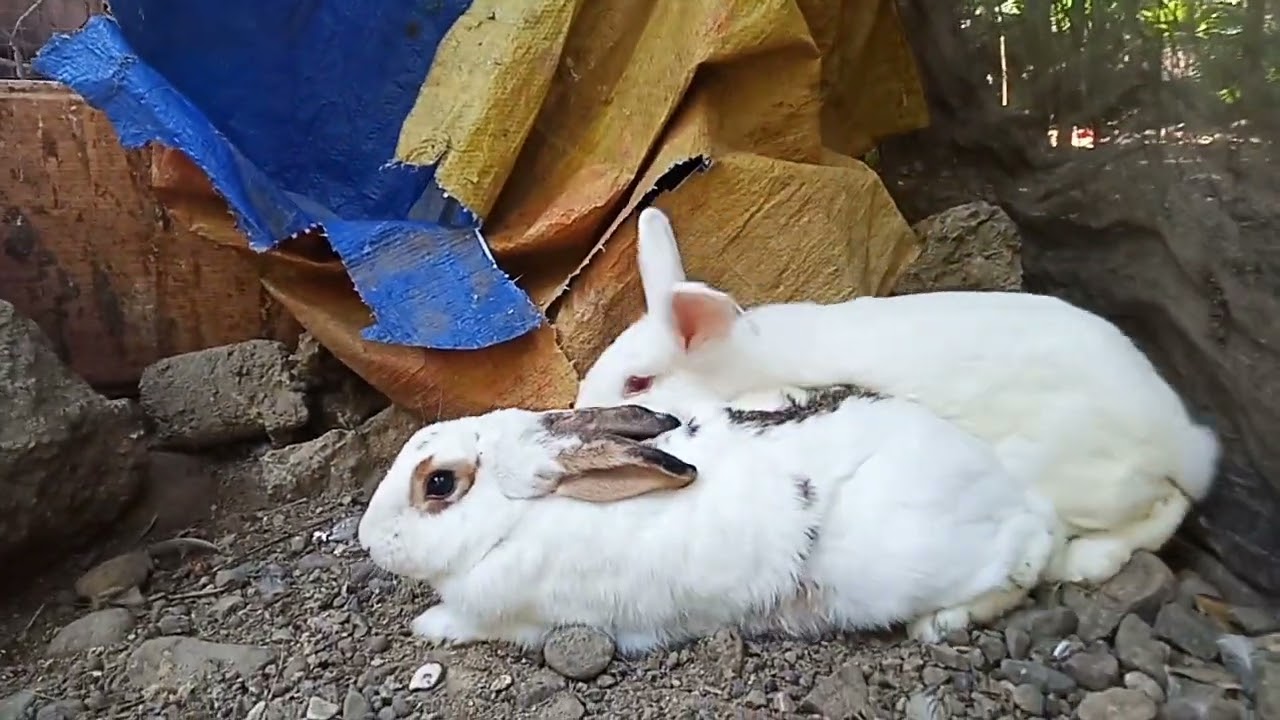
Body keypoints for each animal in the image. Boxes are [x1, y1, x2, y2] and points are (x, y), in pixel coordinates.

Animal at [358, 387, 1062, 655]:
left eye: (439, 483)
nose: (367, 538)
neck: (513, 521)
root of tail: (1009, 491)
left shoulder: (522, 617)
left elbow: (468, 623)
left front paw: (426, 625)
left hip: (911, 565)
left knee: (1025, 560)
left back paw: (940, 623)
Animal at [574, 206, 1221, 586]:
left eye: (638, 383)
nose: (584, 412)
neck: (747, 362)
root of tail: (1181, 440)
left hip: (1077, 476)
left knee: (1163, 511)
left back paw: (1083, 561)